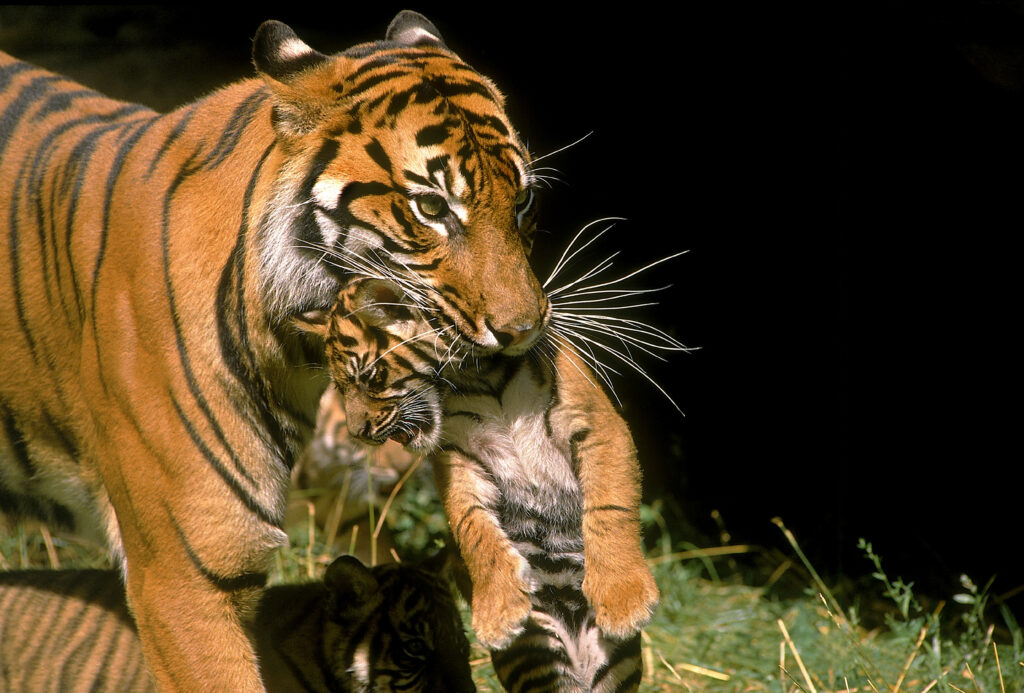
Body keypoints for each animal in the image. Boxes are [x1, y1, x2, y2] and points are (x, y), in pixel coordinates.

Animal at [302, 277, 659, 692]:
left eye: (372, 377)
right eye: (340, 387)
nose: (360, 433)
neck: (482, 375)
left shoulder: (597, 426)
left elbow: (609, 507)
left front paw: (623, 600)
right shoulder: (459, 458)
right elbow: (473, 528)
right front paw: (498, 614)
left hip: (615, 659)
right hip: (537, 649)